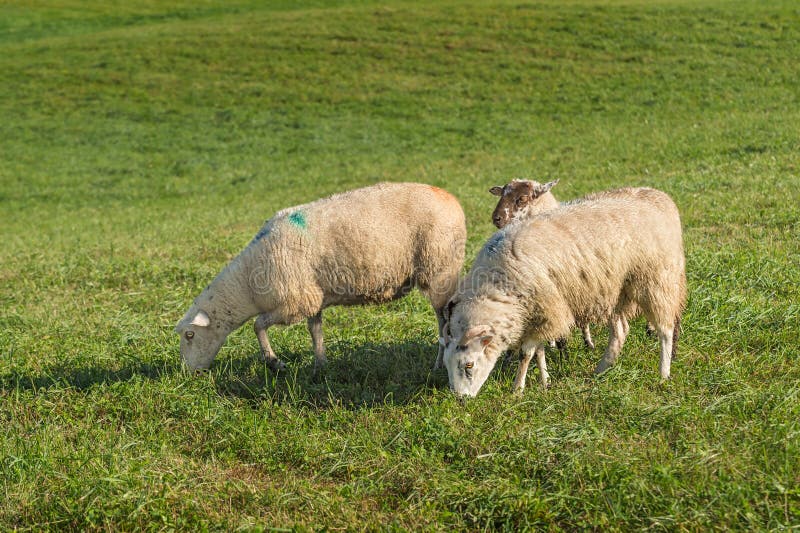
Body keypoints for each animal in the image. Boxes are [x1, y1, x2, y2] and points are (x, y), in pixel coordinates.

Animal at [175, 182, 466, 373]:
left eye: (190, 335)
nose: (190, 373)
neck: (247, 284)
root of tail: (452, 199)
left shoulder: (293, 302)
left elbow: (257, 326)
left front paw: (274, 361)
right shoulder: (311, 298)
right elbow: (315, 331)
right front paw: (320, 364)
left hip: (440, 270)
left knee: (445, 321)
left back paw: (438, 364)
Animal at [443, 187, 686, 397]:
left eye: (469, 365)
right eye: (446, 364)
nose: (461, 399)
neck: (496, 285)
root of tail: (661, 197)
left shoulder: (548, 308)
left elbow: (526, 353)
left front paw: (518, 389)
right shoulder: (537, 313)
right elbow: (539, 350)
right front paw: (545, 381)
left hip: (656, 278)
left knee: (665, 329)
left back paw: (663, 374)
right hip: (616, 289)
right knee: (620, 331)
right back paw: (601, 371)